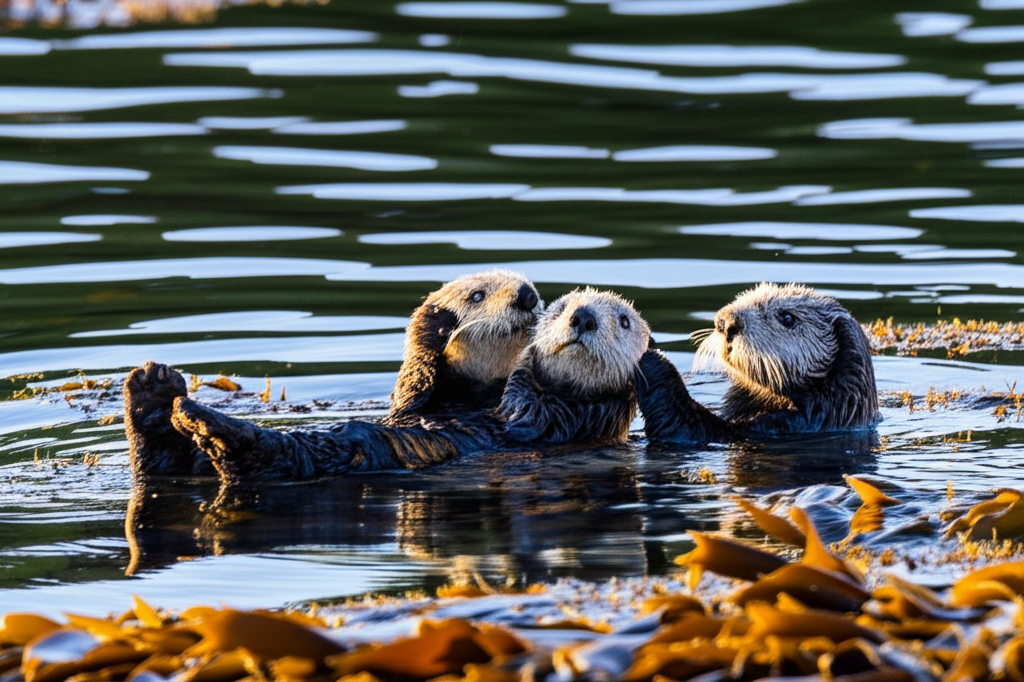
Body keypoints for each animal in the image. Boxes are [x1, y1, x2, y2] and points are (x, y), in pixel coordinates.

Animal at [123, 270, 542, 479]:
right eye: (477, 295)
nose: (528, 295)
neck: (469, 395)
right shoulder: (415, 397)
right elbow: (412, 387)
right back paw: (153, 388)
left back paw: (206, 422)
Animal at [162, 288, 651, 492]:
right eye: (563, 306)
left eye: (623, 321)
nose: (582, 317)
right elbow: (414, 391)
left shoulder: (566, 418)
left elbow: (521, 405)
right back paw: (157, 391)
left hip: (342, 451)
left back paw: (203, 420)